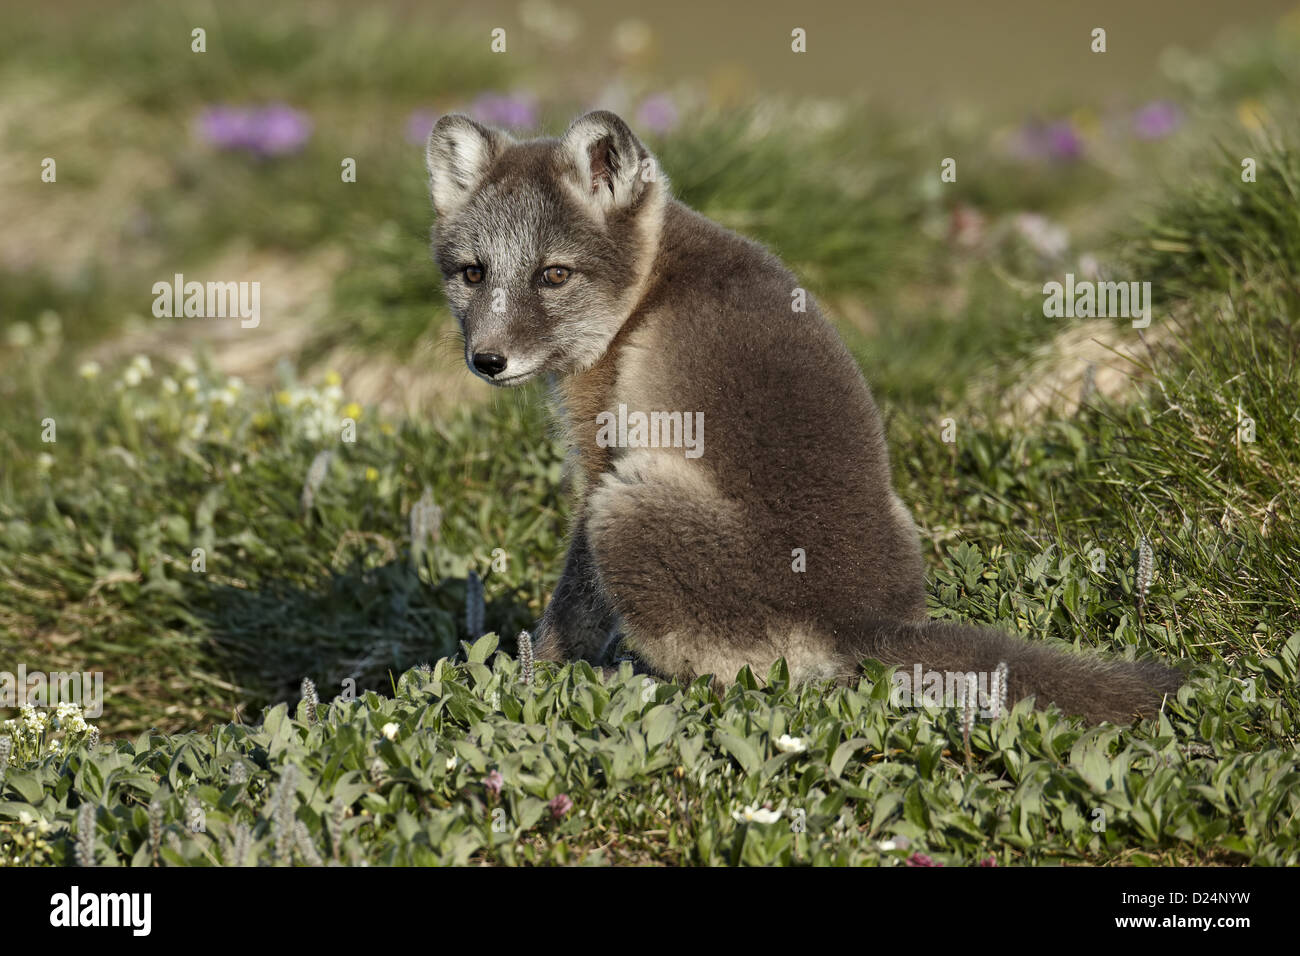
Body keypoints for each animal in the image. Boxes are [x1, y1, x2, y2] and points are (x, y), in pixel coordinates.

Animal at [424, 109, 1183, 724]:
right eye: (473, 273)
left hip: (630, 503)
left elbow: (572, 604)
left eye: (554, 274)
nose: (487, 360)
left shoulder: (598, 463)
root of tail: (863, 626)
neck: (645, 290)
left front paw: (533, 677)